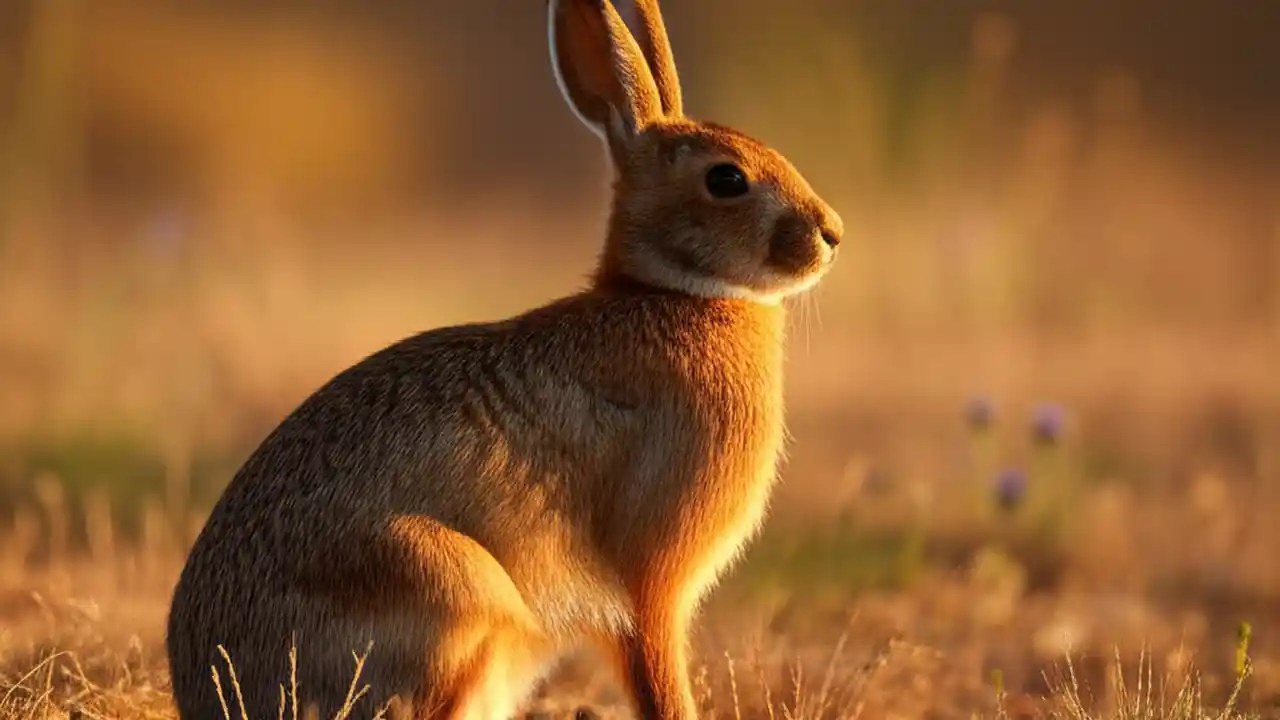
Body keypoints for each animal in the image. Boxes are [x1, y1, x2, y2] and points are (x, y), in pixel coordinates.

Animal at [166, 0, 843, 718]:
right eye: (726, 179)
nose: (832, 234)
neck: (673, 291)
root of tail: (210, 692)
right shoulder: (651, 582)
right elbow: (655, 670)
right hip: (446, 584)